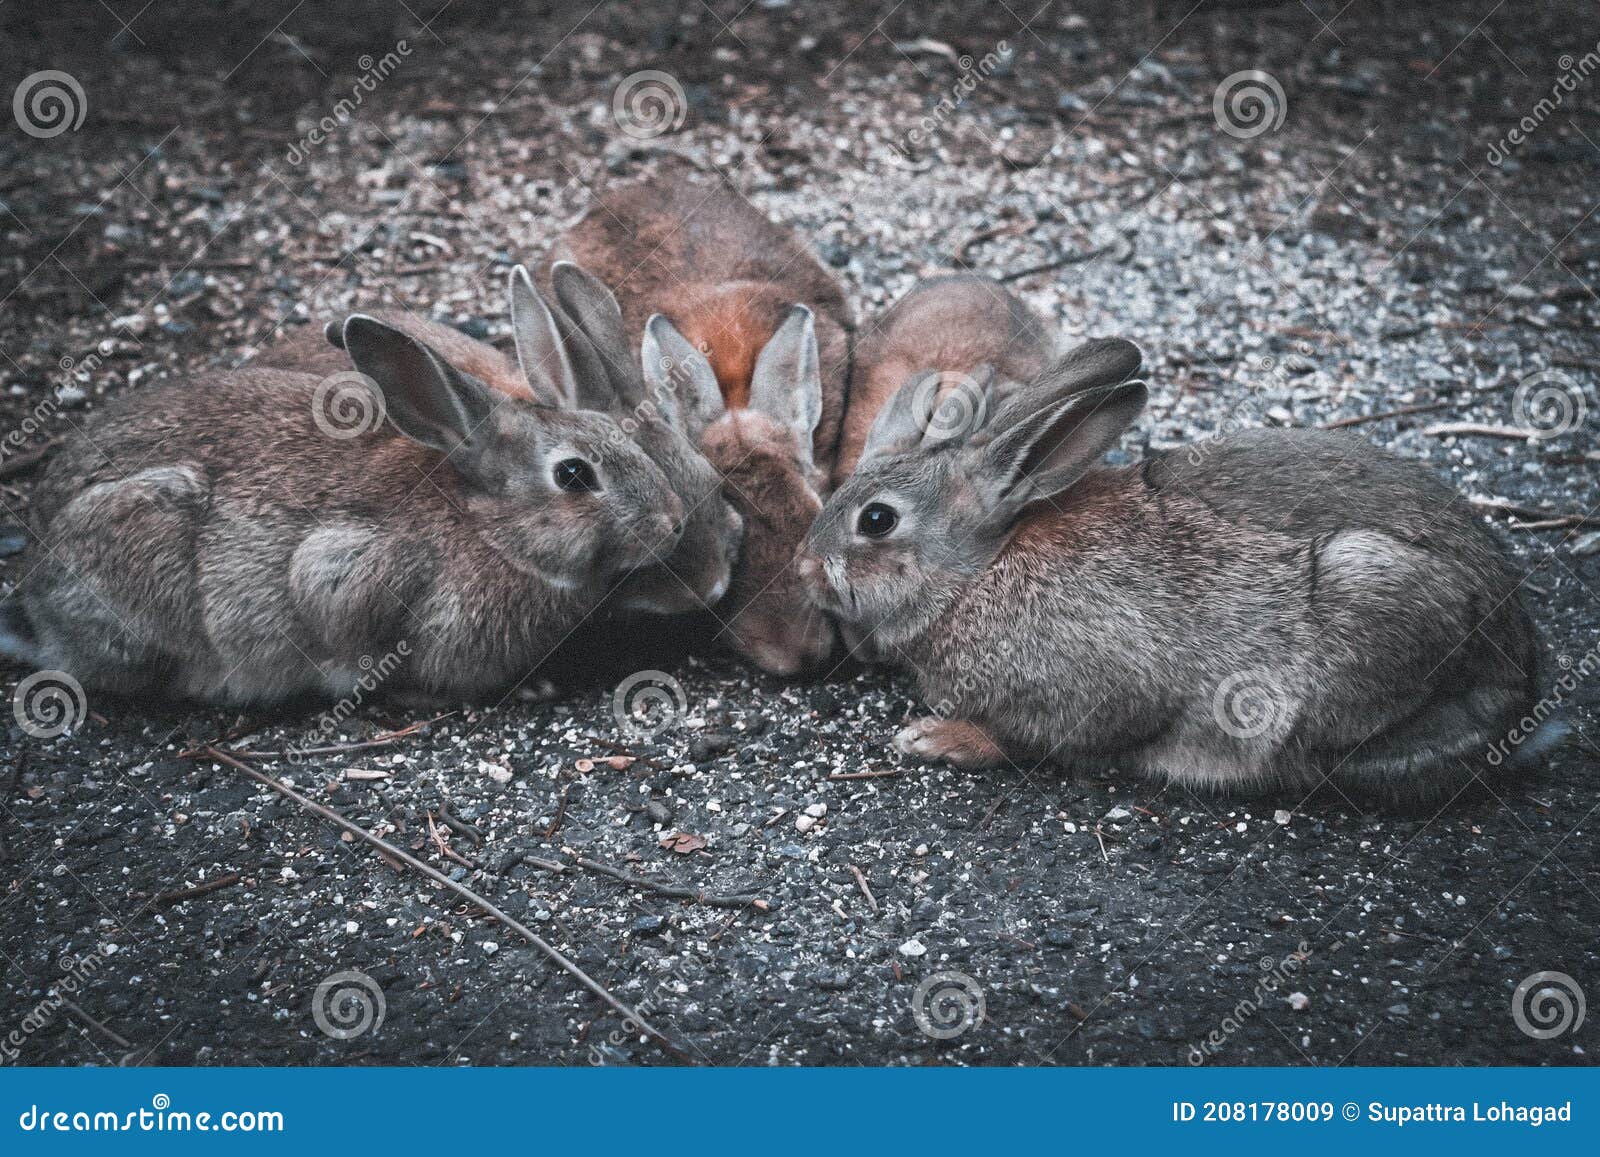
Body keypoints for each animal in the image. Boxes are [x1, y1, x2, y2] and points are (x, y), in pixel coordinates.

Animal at [798, 337, 1544, 804]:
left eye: (876, 520)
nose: (803, 568)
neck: (980, 569)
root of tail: (1520, 677)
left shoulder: (1096, 687)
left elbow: (1030, 739)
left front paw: (933, 738)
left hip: (1369, 592)